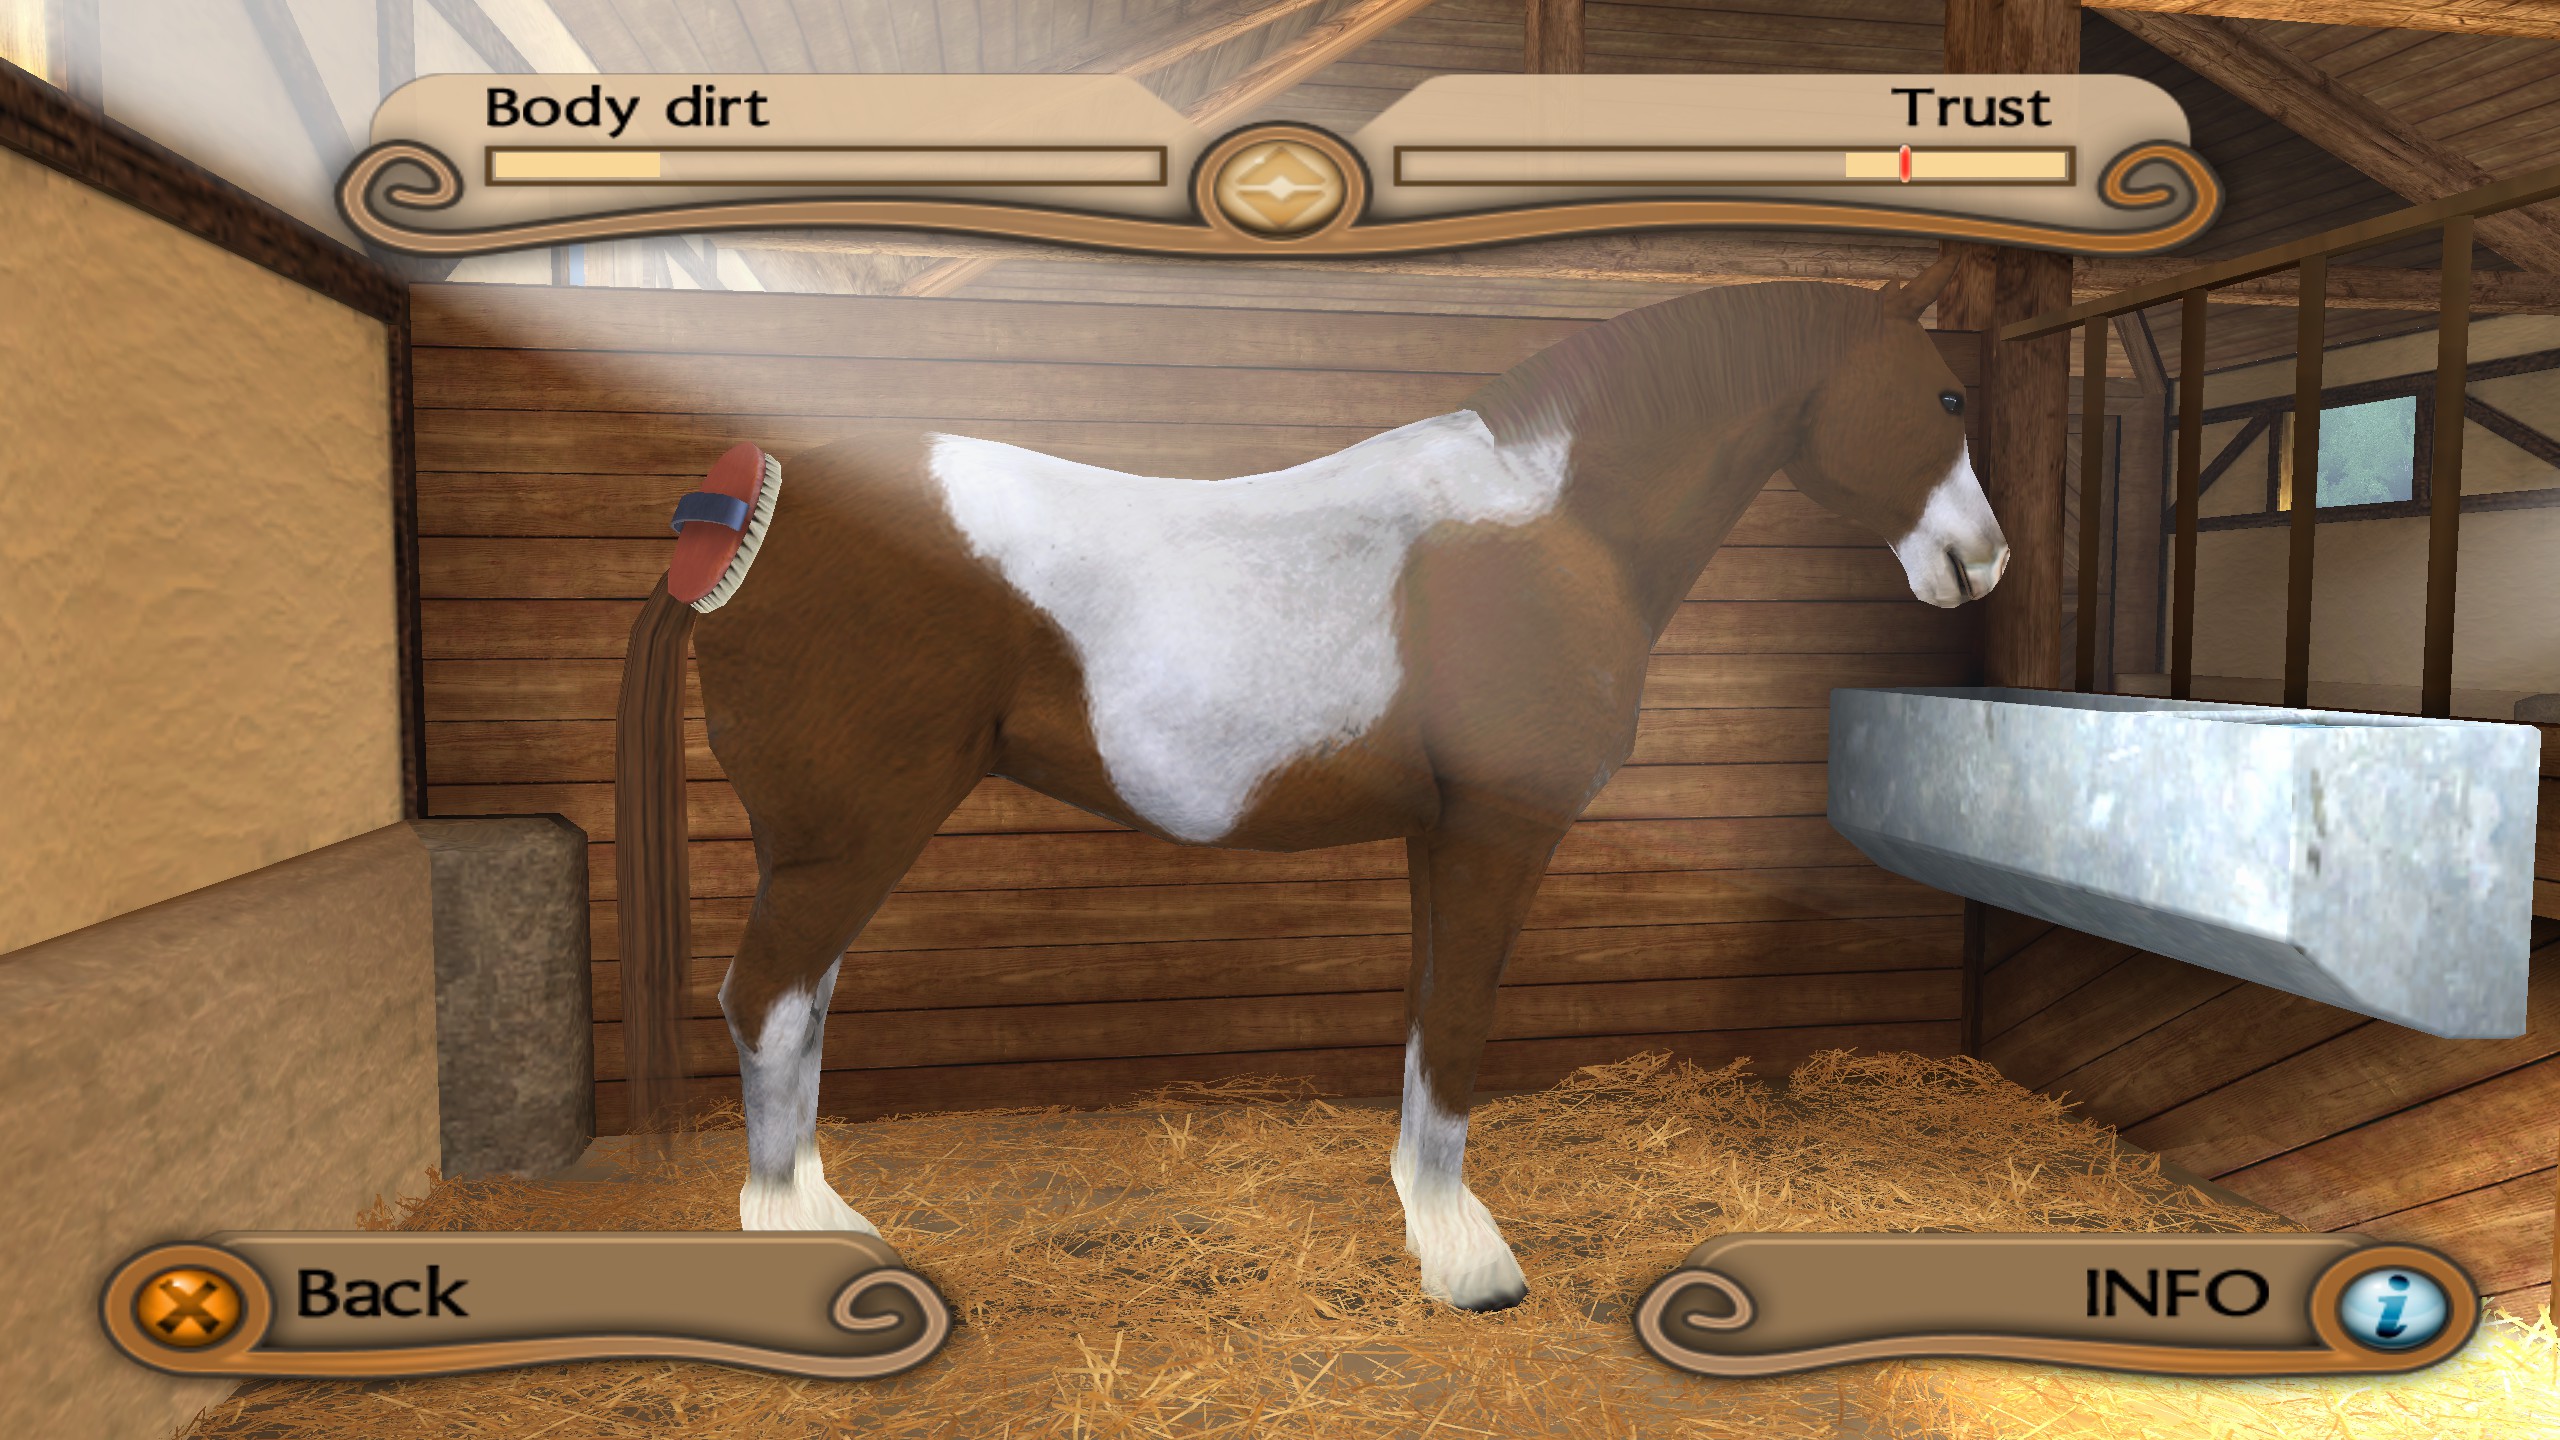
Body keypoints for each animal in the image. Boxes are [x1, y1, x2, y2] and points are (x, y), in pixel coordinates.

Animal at [611, 254, 2009, 1313]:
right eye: (1942, 395)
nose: (1979, 563)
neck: (1551, 526)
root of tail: (744, 517)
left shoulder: (1441, 836)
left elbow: (1427, 1018)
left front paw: (1424, 1216)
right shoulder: (1499, 832)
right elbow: (1457, 1025)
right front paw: (1466, 1261)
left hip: (829, 841)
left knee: (798, 1008)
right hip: (853, 833)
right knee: (768, 1002)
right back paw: (804, 1234)